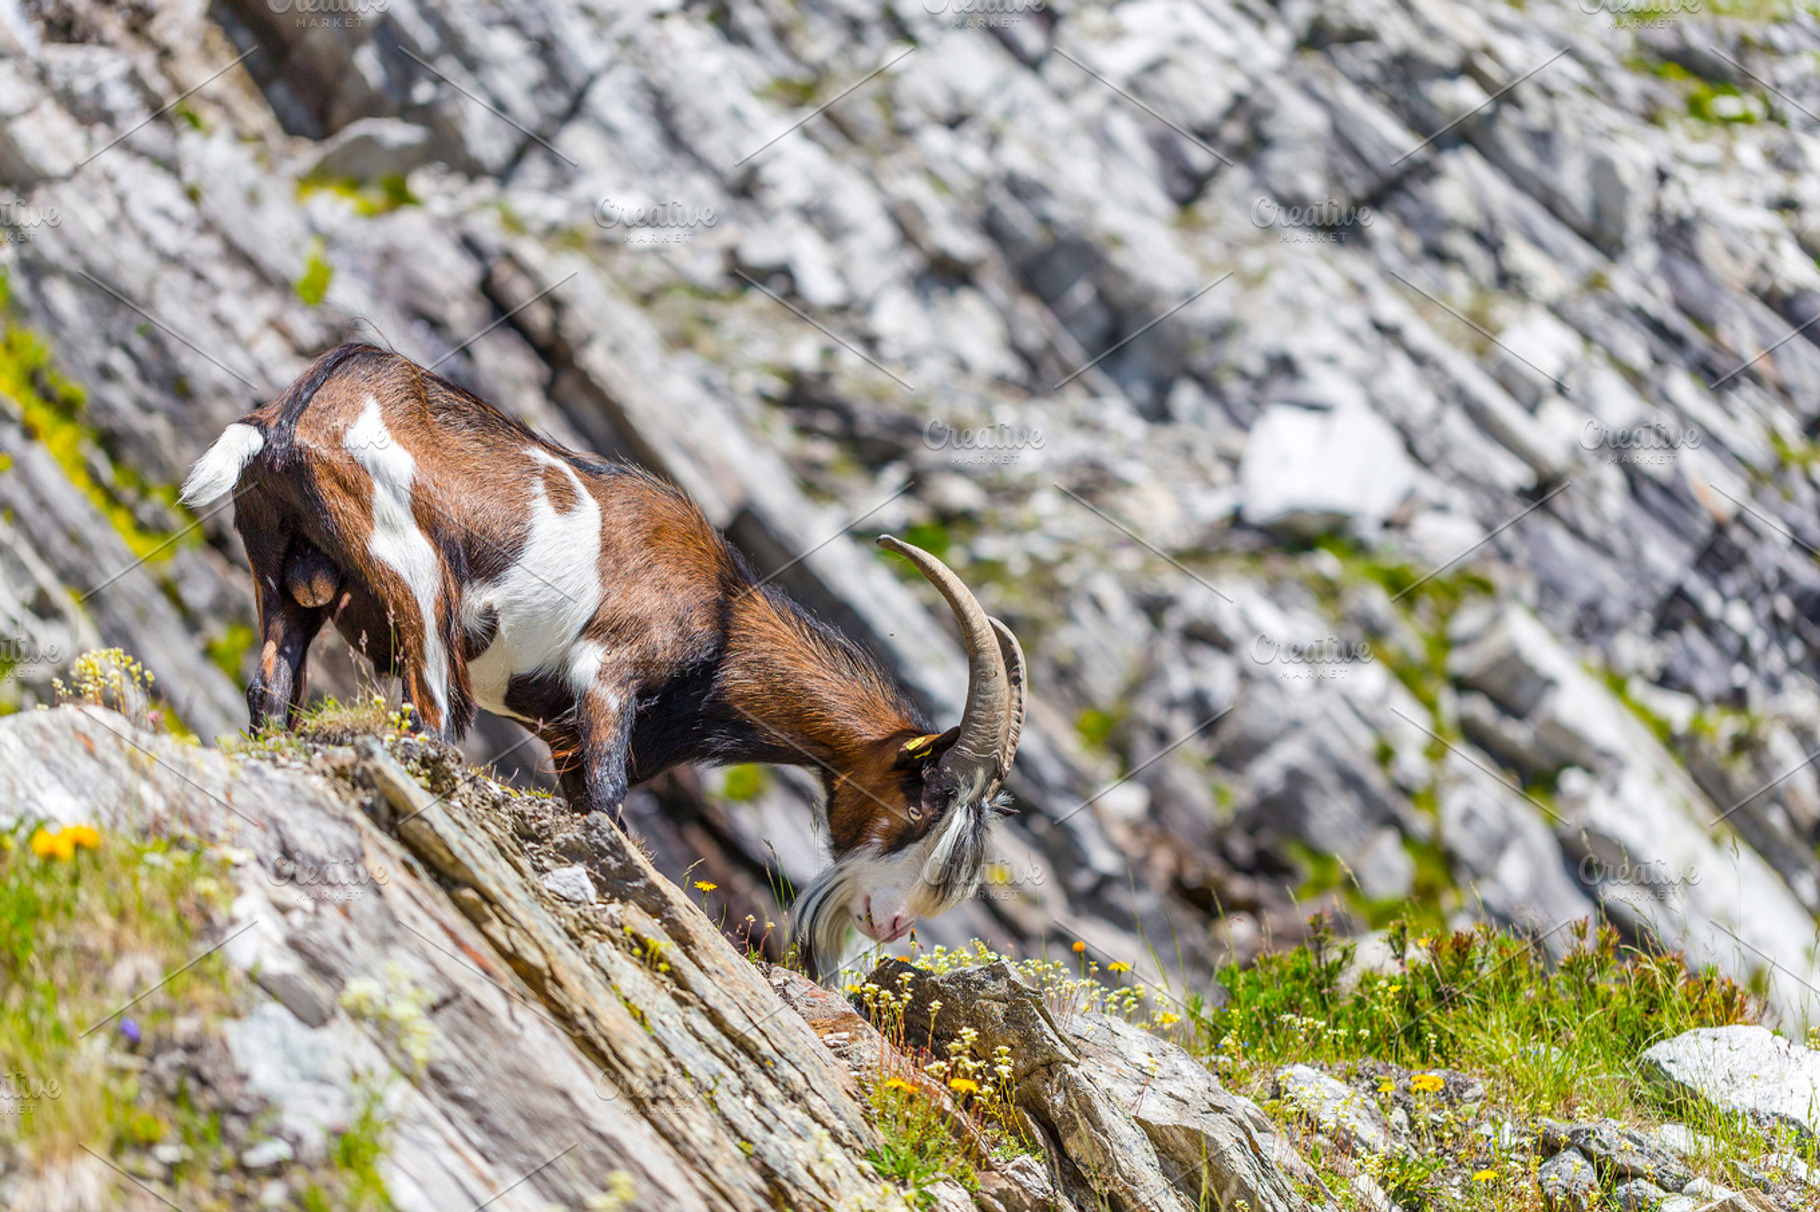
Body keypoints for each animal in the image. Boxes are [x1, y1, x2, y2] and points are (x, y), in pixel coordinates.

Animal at [181, 343, 1026, 978]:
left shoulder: (563, 739)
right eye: (921, 803)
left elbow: (585, 803)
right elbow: (611, 807)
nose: (892, 925)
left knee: (273, 691)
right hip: (416, 580)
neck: (723, 618)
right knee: (432, 720)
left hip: (283, 579)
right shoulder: (609, 677)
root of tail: (289, 417)